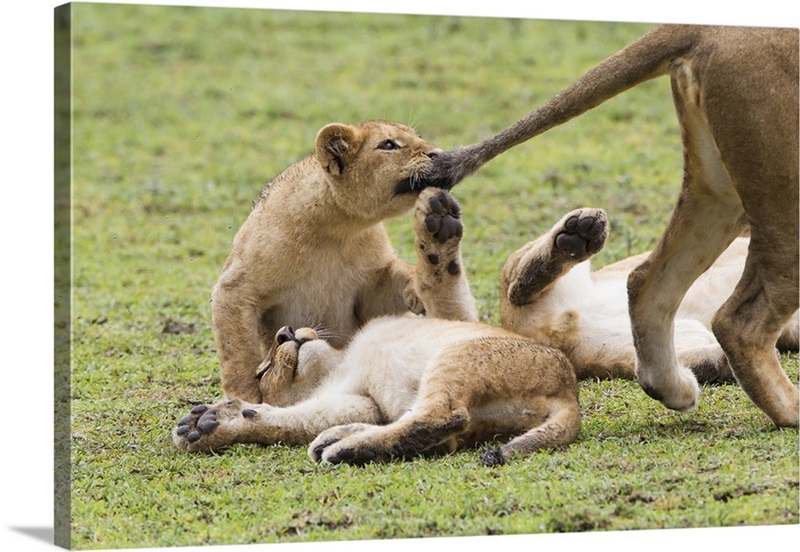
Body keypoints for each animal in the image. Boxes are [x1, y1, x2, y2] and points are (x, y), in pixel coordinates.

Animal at [173, 316, 581, 467]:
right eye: (264, 369)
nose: (286, 332)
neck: (333, 368)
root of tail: (569, 393)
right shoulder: (359, 400)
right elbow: (293, 418)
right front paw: (208, 424)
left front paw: (206, 421)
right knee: (441, 425)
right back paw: (341, 444)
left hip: (458, 354)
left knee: (442, 415)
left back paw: (341, 447)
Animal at [212, 120, 477, 404]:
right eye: (388, 145)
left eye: (418, 136)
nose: (439, 154)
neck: (338, 229)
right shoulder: (237, 289)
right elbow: (238, 354)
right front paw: (244, 397)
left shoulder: (369, 288)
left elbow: (397, 274)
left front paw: (415, 291)